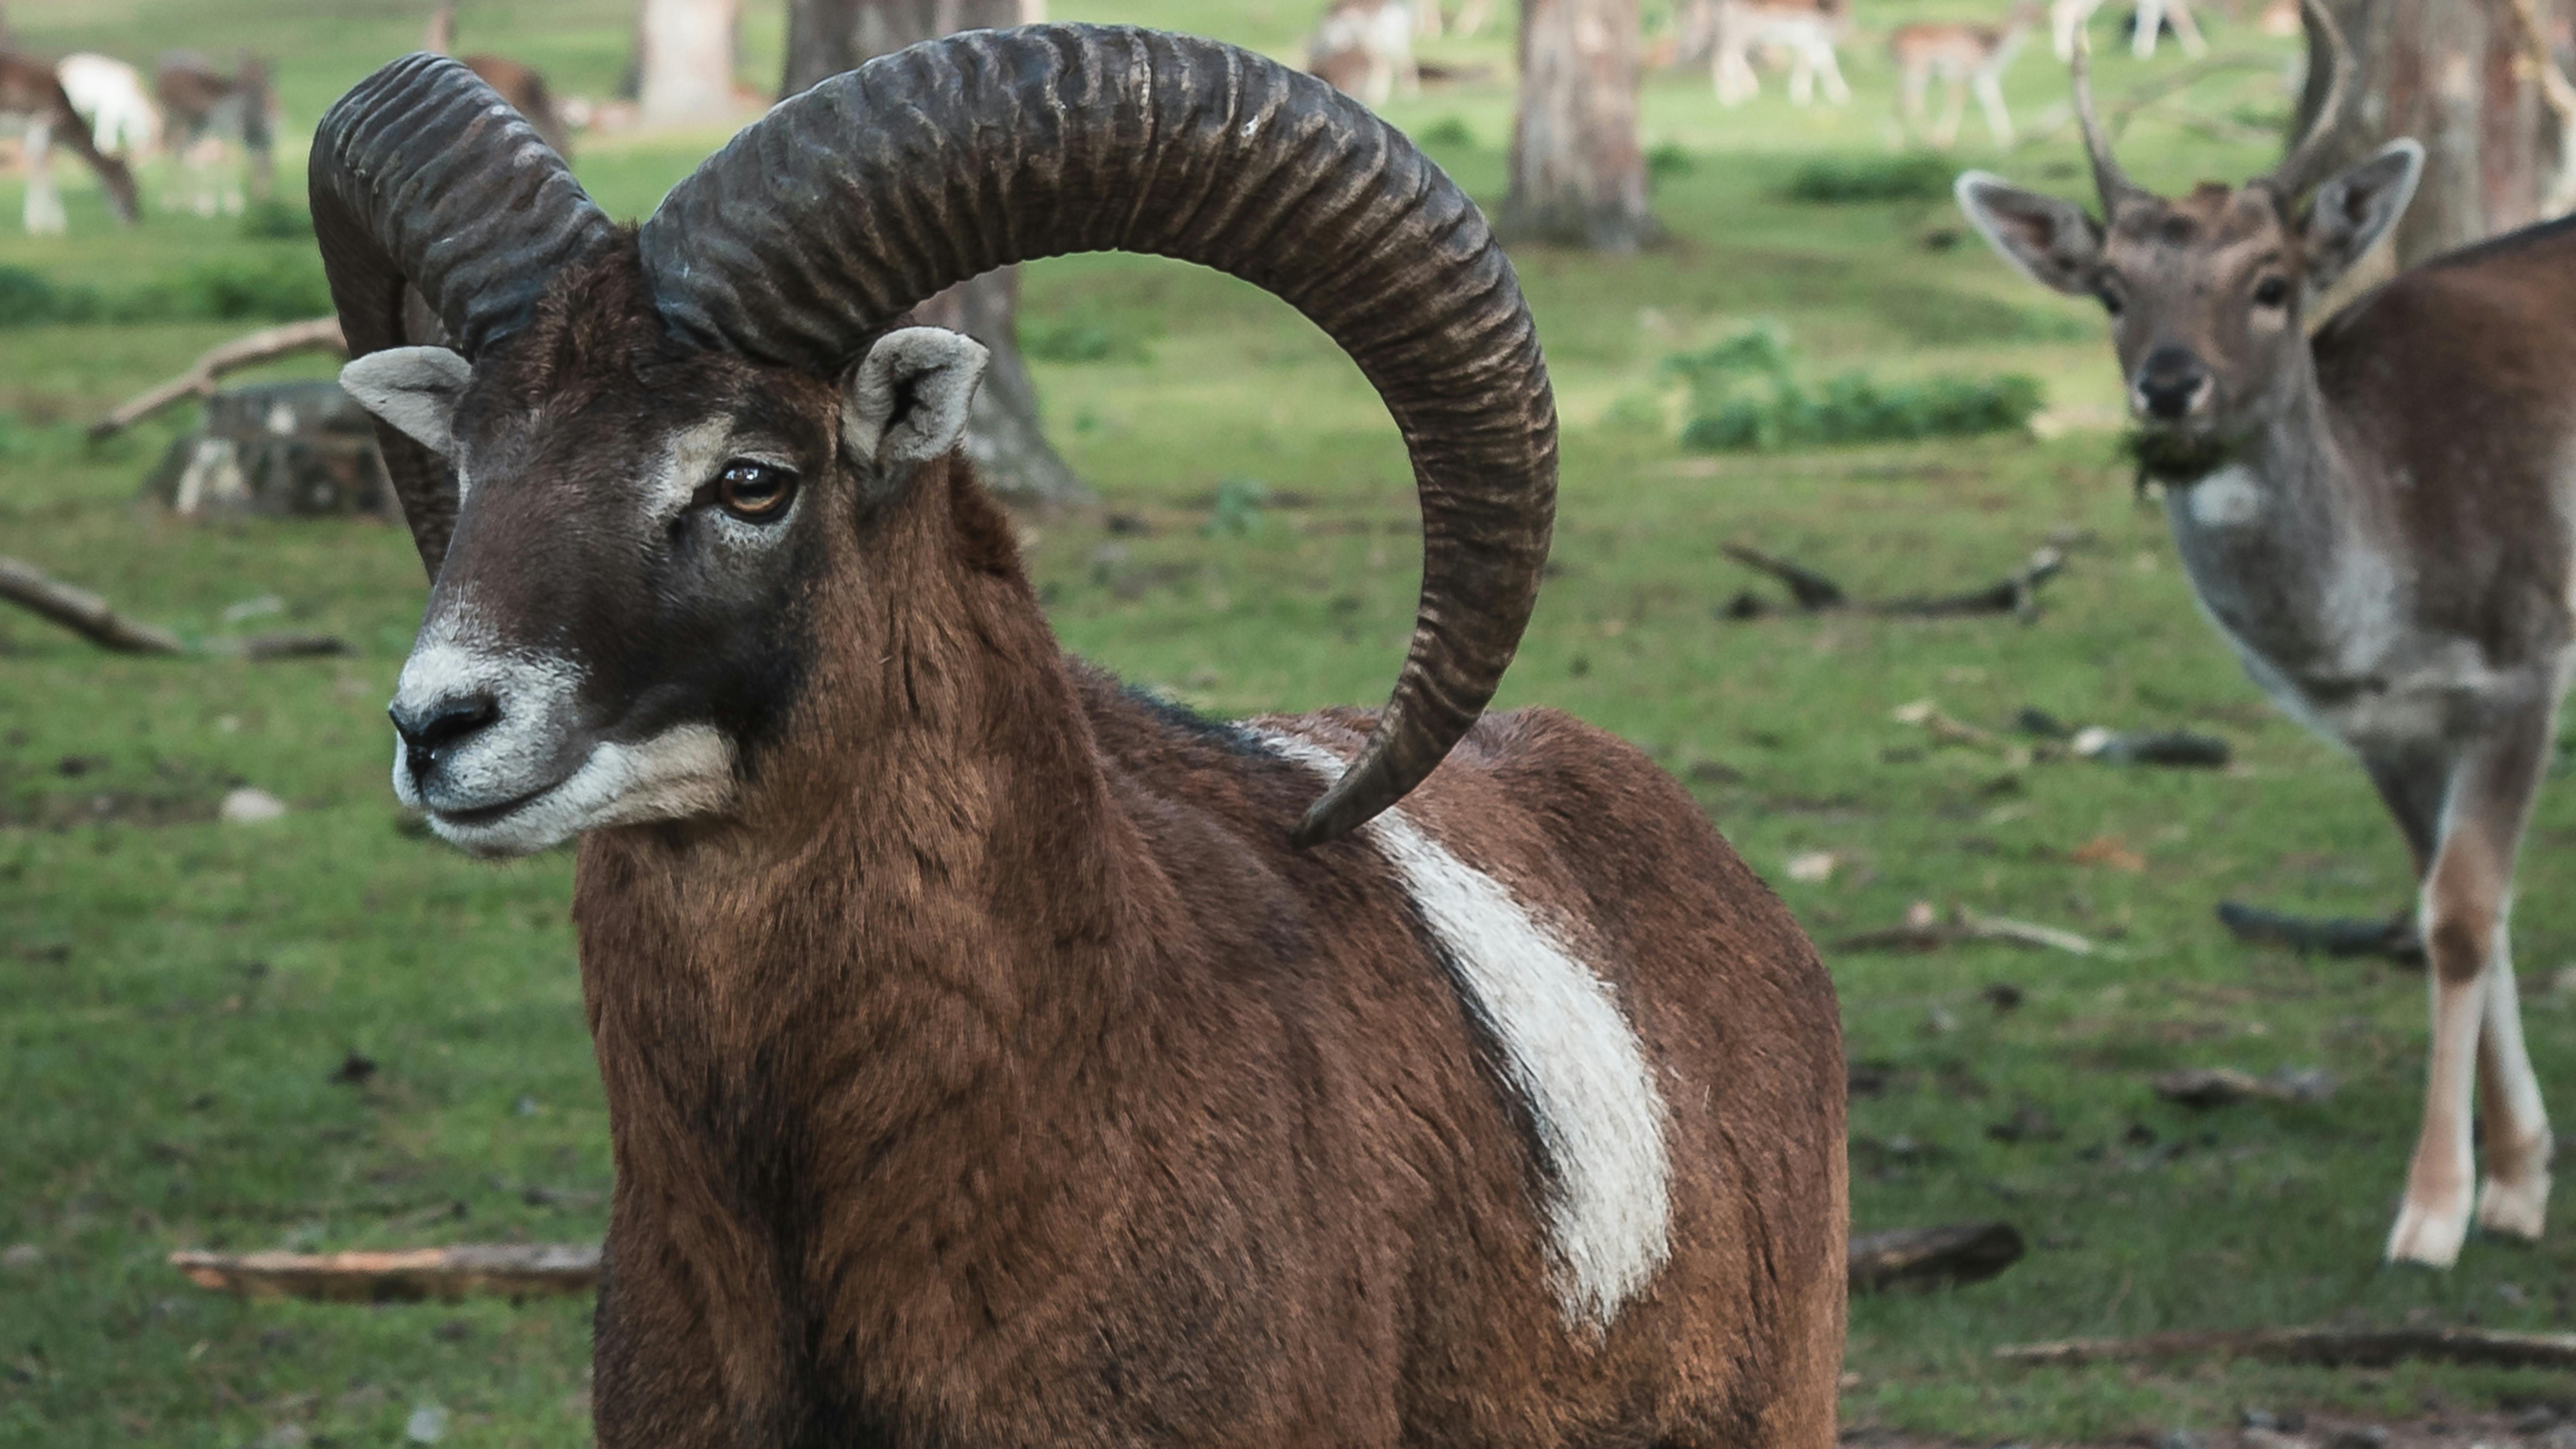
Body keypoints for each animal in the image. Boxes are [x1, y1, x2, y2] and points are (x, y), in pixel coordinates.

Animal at [0, 49, 139, 234]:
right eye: (132, 186)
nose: (135, 219)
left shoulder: (40, 132)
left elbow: (44, 166)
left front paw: (52, 224)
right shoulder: (41, 121)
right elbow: (40, 167)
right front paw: (41, 226)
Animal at [156, 50, 274, 216]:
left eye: (264, 74)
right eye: (246, 73)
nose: (258, 88)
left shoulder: (230, 133)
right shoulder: (223, 131)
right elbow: (224, 163)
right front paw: (231, 204)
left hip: (194, 126)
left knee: (182, 153)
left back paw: (184, 201)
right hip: (175, 119)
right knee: (174, 149)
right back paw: (171, 201)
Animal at [1956, 0, 2554, 1268]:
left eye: (2272, 281)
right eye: (2110, 289)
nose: (2169, 384)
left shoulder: (2519, 662)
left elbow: (2460, 916)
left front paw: (2433, 1208)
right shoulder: (2386, 729)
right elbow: (2457, 904)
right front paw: (2519, 1174)